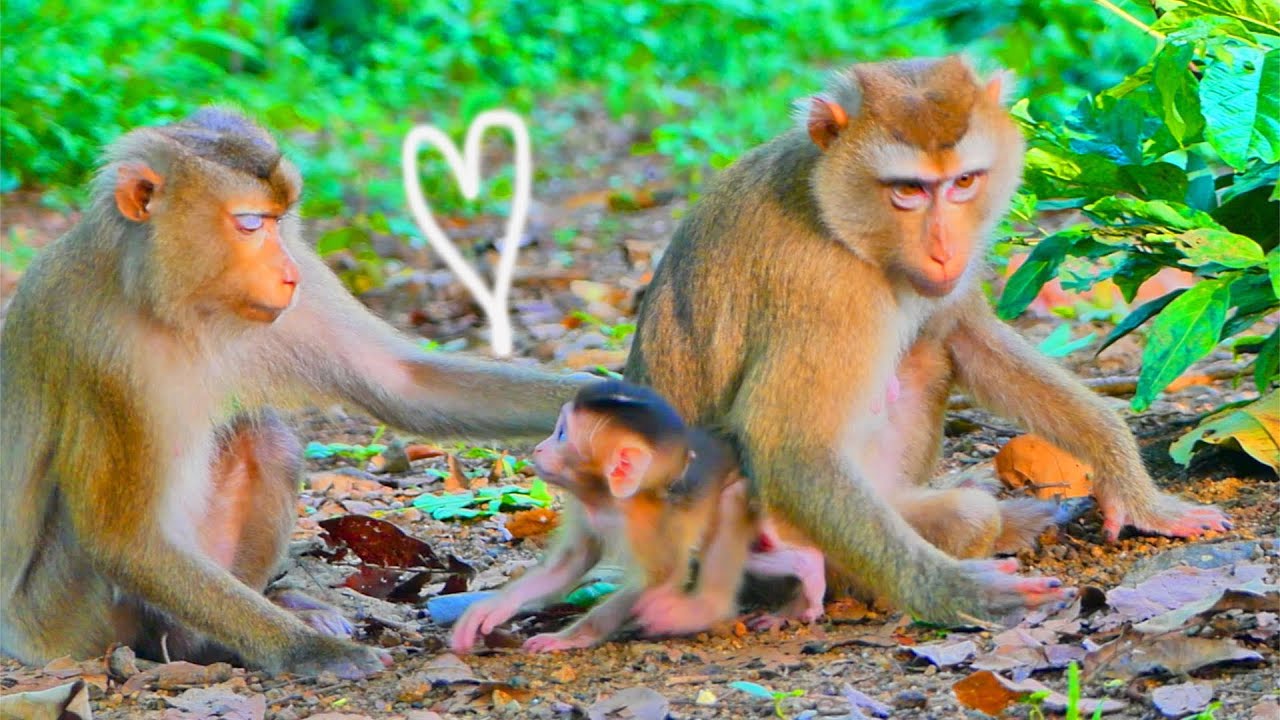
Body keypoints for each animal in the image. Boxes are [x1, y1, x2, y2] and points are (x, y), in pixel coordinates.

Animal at [0, 108, 586, 679]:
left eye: (280, 222)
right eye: (250, 224)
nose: (288, 271)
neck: (159, 299)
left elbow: (401, 382)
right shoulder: (101, 355)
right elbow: (122, 537)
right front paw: (308, 651)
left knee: (266, 440)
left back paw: (212, 638)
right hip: (65, 622)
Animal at [625, 56, 1230, 625]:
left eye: (963, 182)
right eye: (909, 190)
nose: (943, 251)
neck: (842, 223)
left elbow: (966, 338)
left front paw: (1133, 489)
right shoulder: (822, 289)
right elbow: (785, 444)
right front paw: (955, 593)